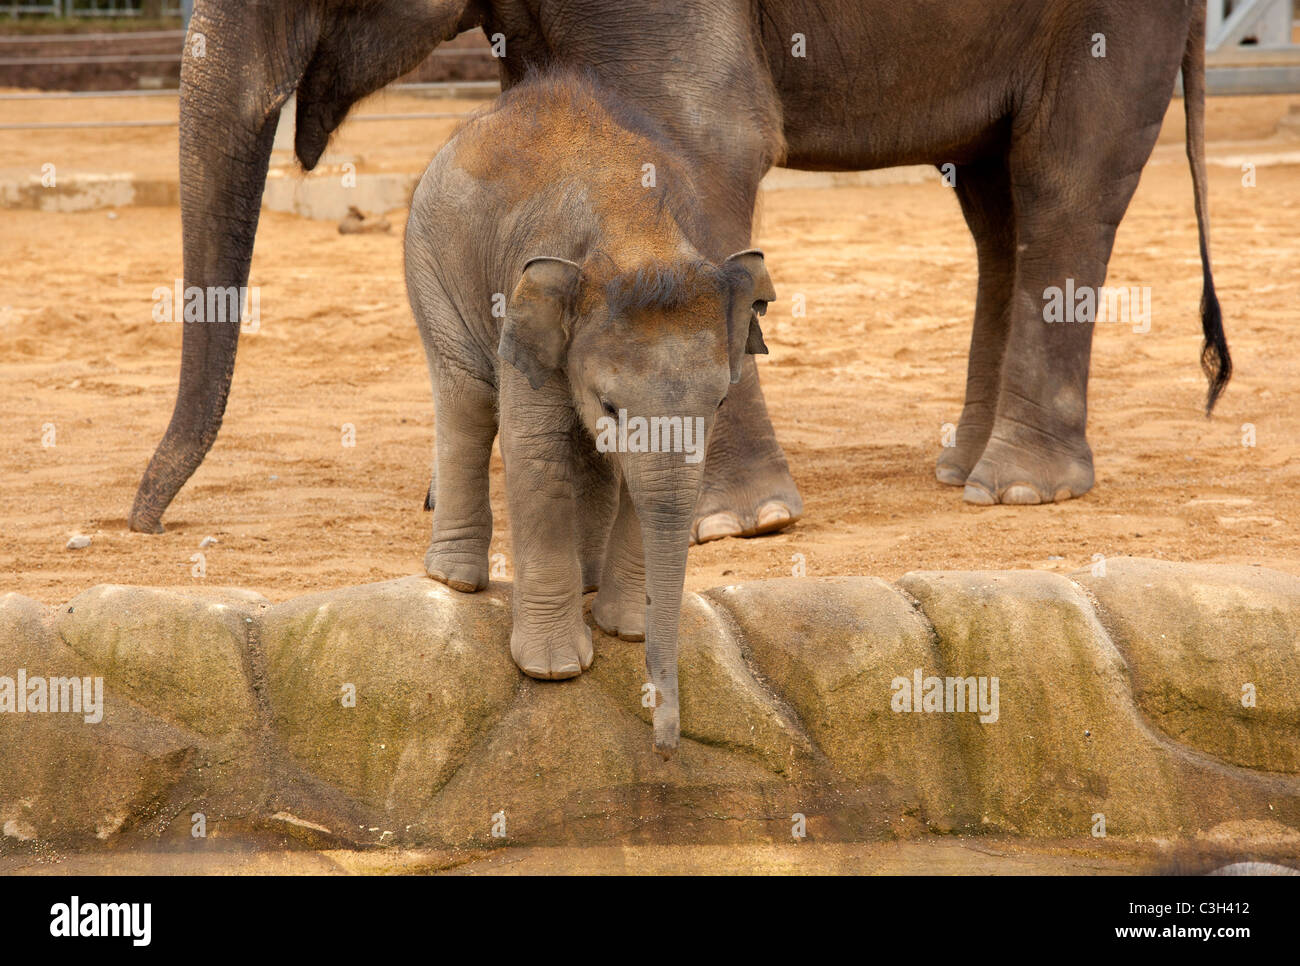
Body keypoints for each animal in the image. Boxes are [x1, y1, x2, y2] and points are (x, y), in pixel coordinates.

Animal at [128, 0, 1228, 534]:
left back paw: (1016, 492)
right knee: (995, 202)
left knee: (1061, 178)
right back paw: (964, 466)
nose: (144, 523)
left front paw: (735, 525)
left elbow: (699, 137)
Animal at [406, 70, 777, 756]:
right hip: (430, 267)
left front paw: (627, 630)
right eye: (609, 404)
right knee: (466, 398)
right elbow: (535, 447)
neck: (637, 231)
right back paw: (455, 582)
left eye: (718, 402)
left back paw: (588, 581)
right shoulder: (524, 313)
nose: (665, 747)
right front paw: (555, 671)